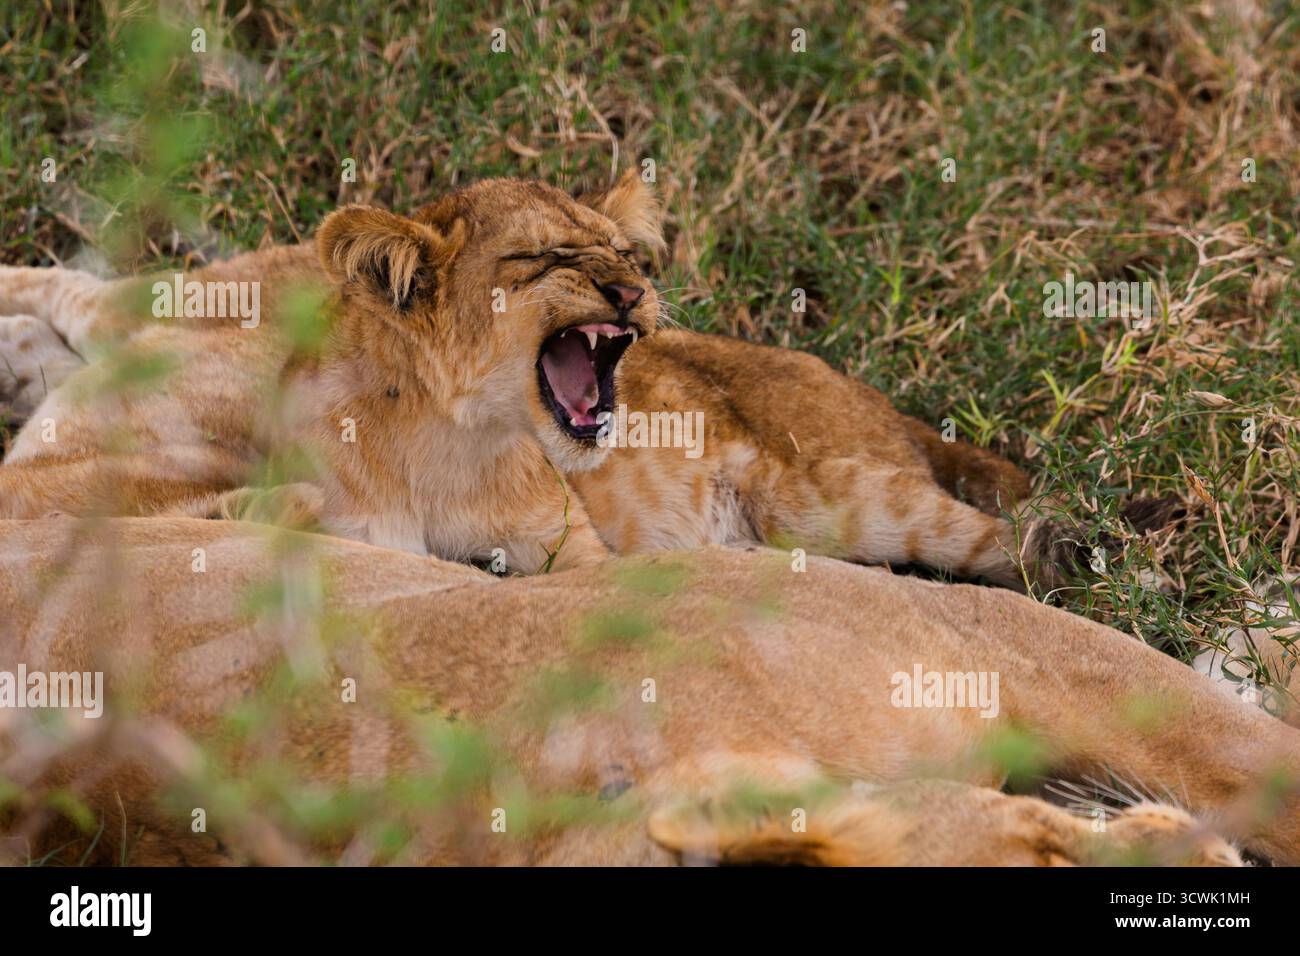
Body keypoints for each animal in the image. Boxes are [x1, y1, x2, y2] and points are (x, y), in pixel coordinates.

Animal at [1, 173, 1080, 588]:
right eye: (551, 257)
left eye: (622, 250)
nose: (636, 287)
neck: (453, 436)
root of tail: (887, 406)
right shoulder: (370, 527)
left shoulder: (580, 554)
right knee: (85, 297)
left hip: (829, 495)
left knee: (1002, 538)